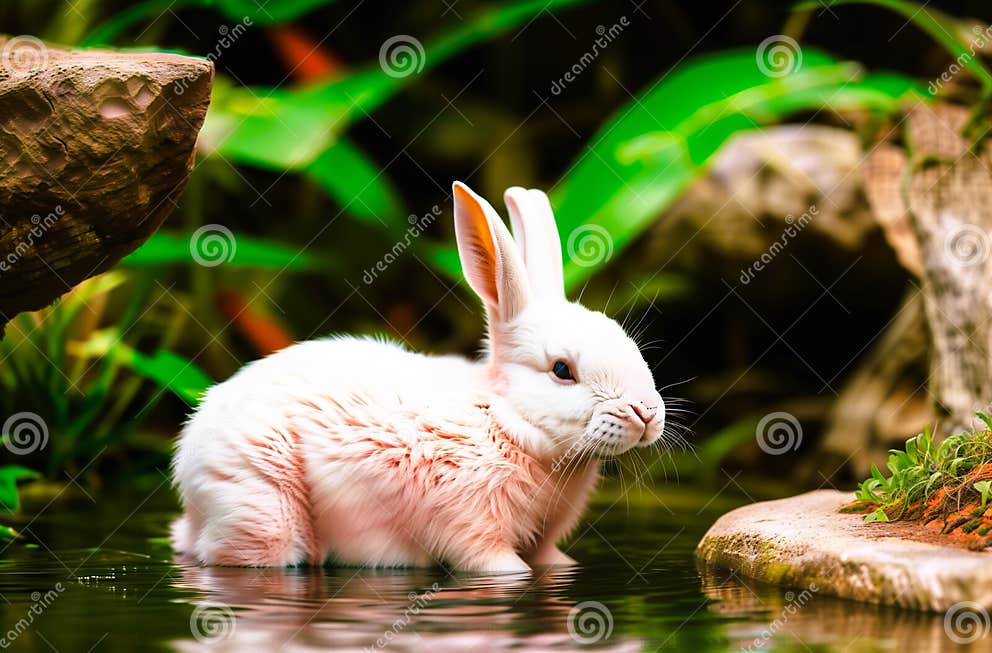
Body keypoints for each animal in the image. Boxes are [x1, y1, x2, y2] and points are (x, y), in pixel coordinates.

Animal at [171, 181, 667, 573]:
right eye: (563, 370)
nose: (646, 414)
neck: (504, 420)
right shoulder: (471, 524)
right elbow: (500, 567)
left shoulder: (545, 539)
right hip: (262, 512)